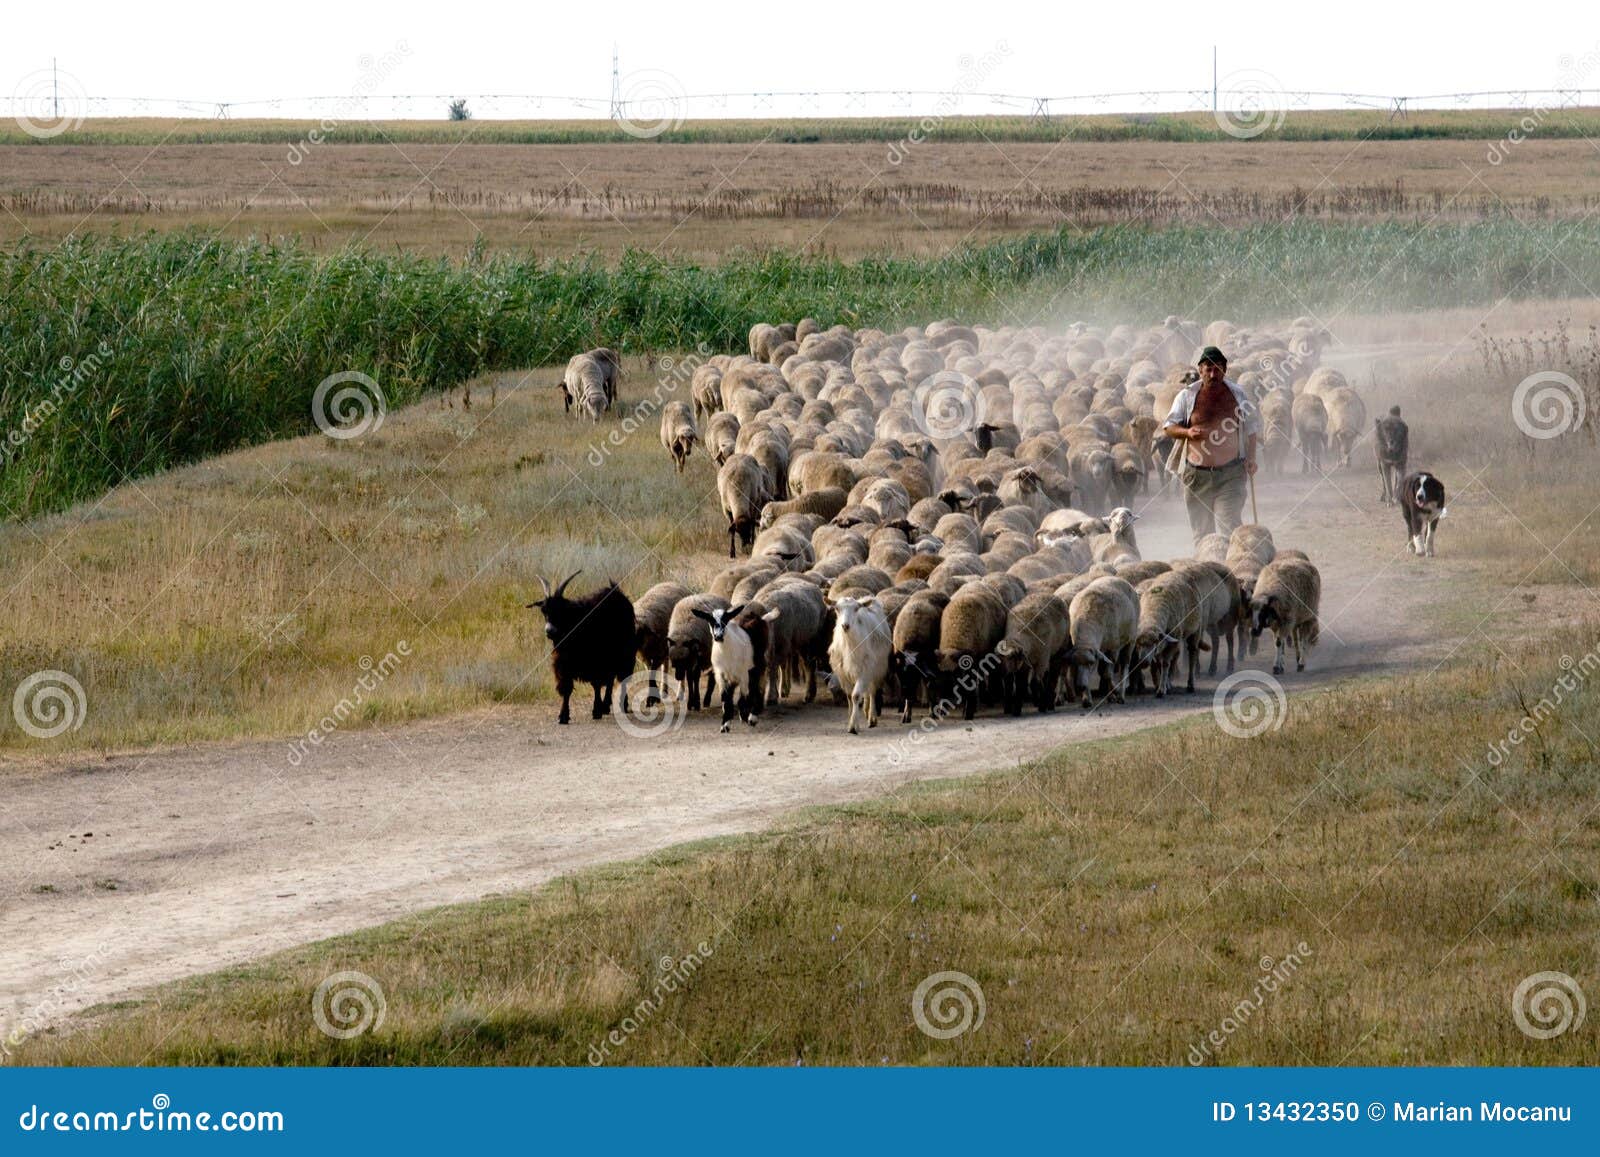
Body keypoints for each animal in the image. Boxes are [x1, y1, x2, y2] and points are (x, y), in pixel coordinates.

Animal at [526, 571, 636, 724]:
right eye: (544, 611)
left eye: (561, 610)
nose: (549, 631)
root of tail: (617, 592)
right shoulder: (563, 663)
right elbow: (566, 688)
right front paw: (563, 716)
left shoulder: (595, 660)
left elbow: (596, 685)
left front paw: (596, 710)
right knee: (610, 679)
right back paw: (606, 706)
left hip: (625, 654)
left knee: (622, 677)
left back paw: (622, 705)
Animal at [828, 596, 892, 733]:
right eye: (837, 609)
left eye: (856, 609)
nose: (845, 625)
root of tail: (868, 598)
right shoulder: (842, 673)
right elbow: (849, 696)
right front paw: (850, 720)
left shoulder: (865, 670)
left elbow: (856, 695)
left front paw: (853, 726)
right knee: (867, 691)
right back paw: (866, 711)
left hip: (877, 667)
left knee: (872, 691)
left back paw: (872, 718)